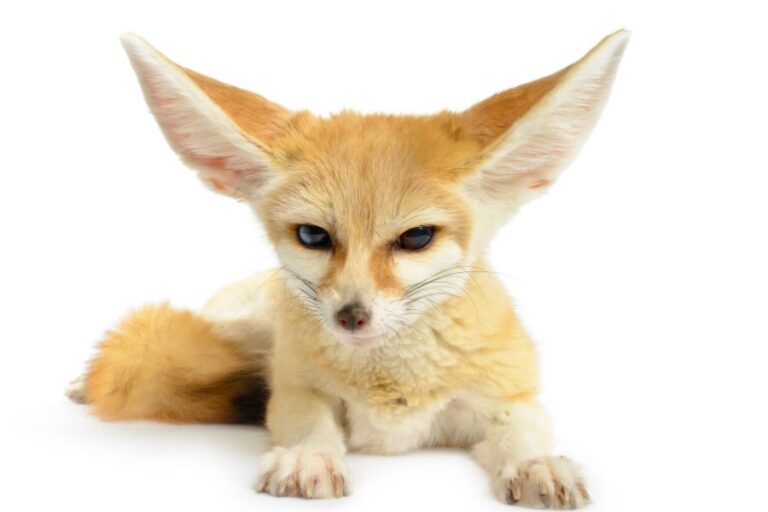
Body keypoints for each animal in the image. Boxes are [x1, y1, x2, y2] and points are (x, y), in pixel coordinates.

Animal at [67, 30, 629, 508]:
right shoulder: (294, 389)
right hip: (242, 330)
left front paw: (537, 464)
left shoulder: (511, 396)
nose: (351, 317)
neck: (390, 384)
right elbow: (308, 420)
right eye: (313, 236)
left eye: (416, 238)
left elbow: (525, 433)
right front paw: (310, 456)